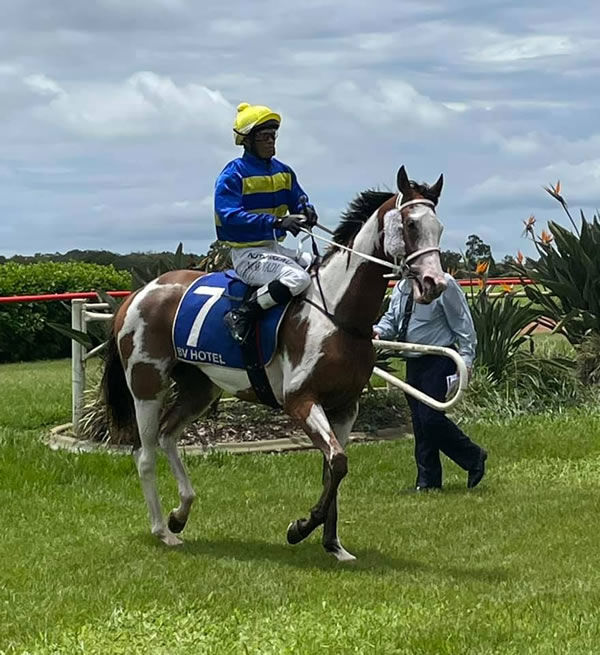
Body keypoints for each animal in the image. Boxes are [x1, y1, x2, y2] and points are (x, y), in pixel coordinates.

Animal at [101, 165, 447, 561]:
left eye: (439, 227)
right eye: (410, 224)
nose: (434, 283)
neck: (336, 314)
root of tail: (138, 294)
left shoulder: (346, 407)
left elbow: (334, 468)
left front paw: (333, 545)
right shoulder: (300, 400)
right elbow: (338, 463)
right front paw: (300, 528)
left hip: (200, 389)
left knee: (167, 435)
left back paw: (180, 514)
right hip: (147, 385)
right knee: (144, 453)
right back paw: (162, 529)